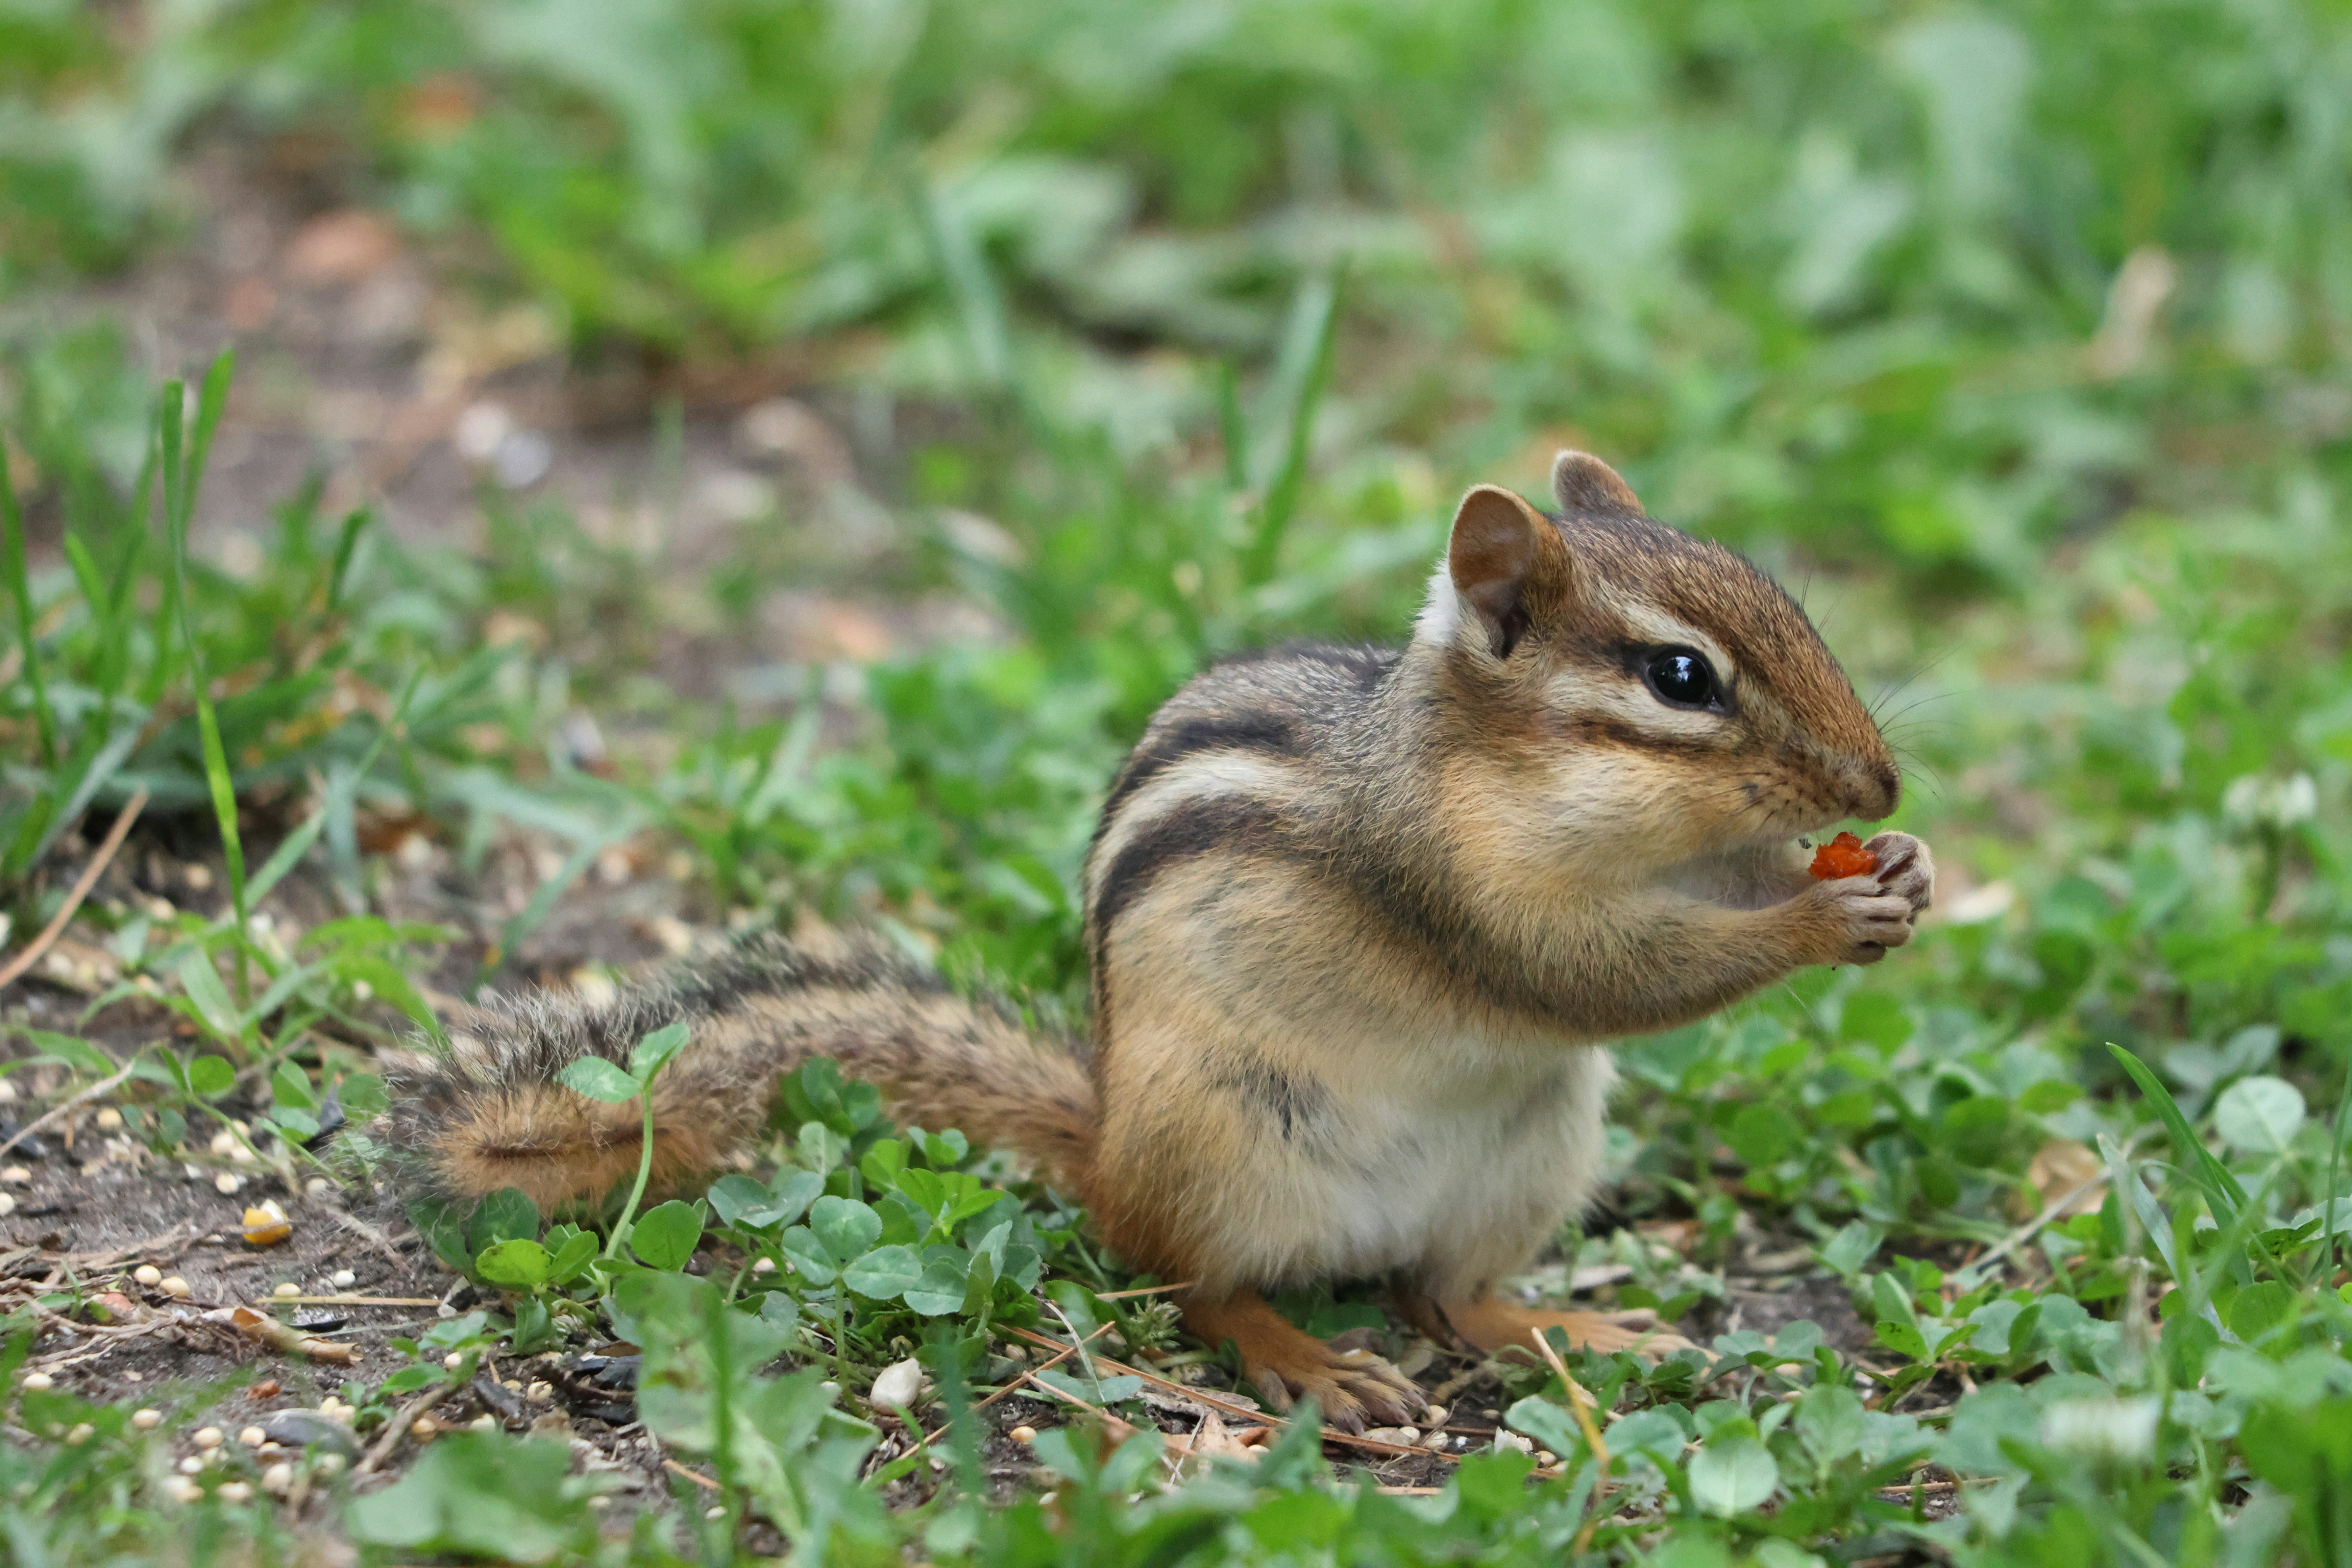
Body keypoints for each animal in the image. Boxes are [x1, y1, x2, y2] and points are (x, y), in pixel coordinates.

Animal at [382, 450, 1934, 1432]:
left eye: (1779, 602)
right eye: (1681, 677)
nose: (1878, 784)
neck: (1504, 775)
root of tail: (1107, 1134)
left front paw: (1898, 873)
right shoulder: (1455, 889)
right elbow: (1594, 972)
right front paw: (1820, 910)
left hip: (1533, 1149)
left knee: (1445, 1294)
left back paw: (1564, 1327)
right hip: (1230, 1137)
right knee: (1193, 1280)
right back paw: (1305, 1355)